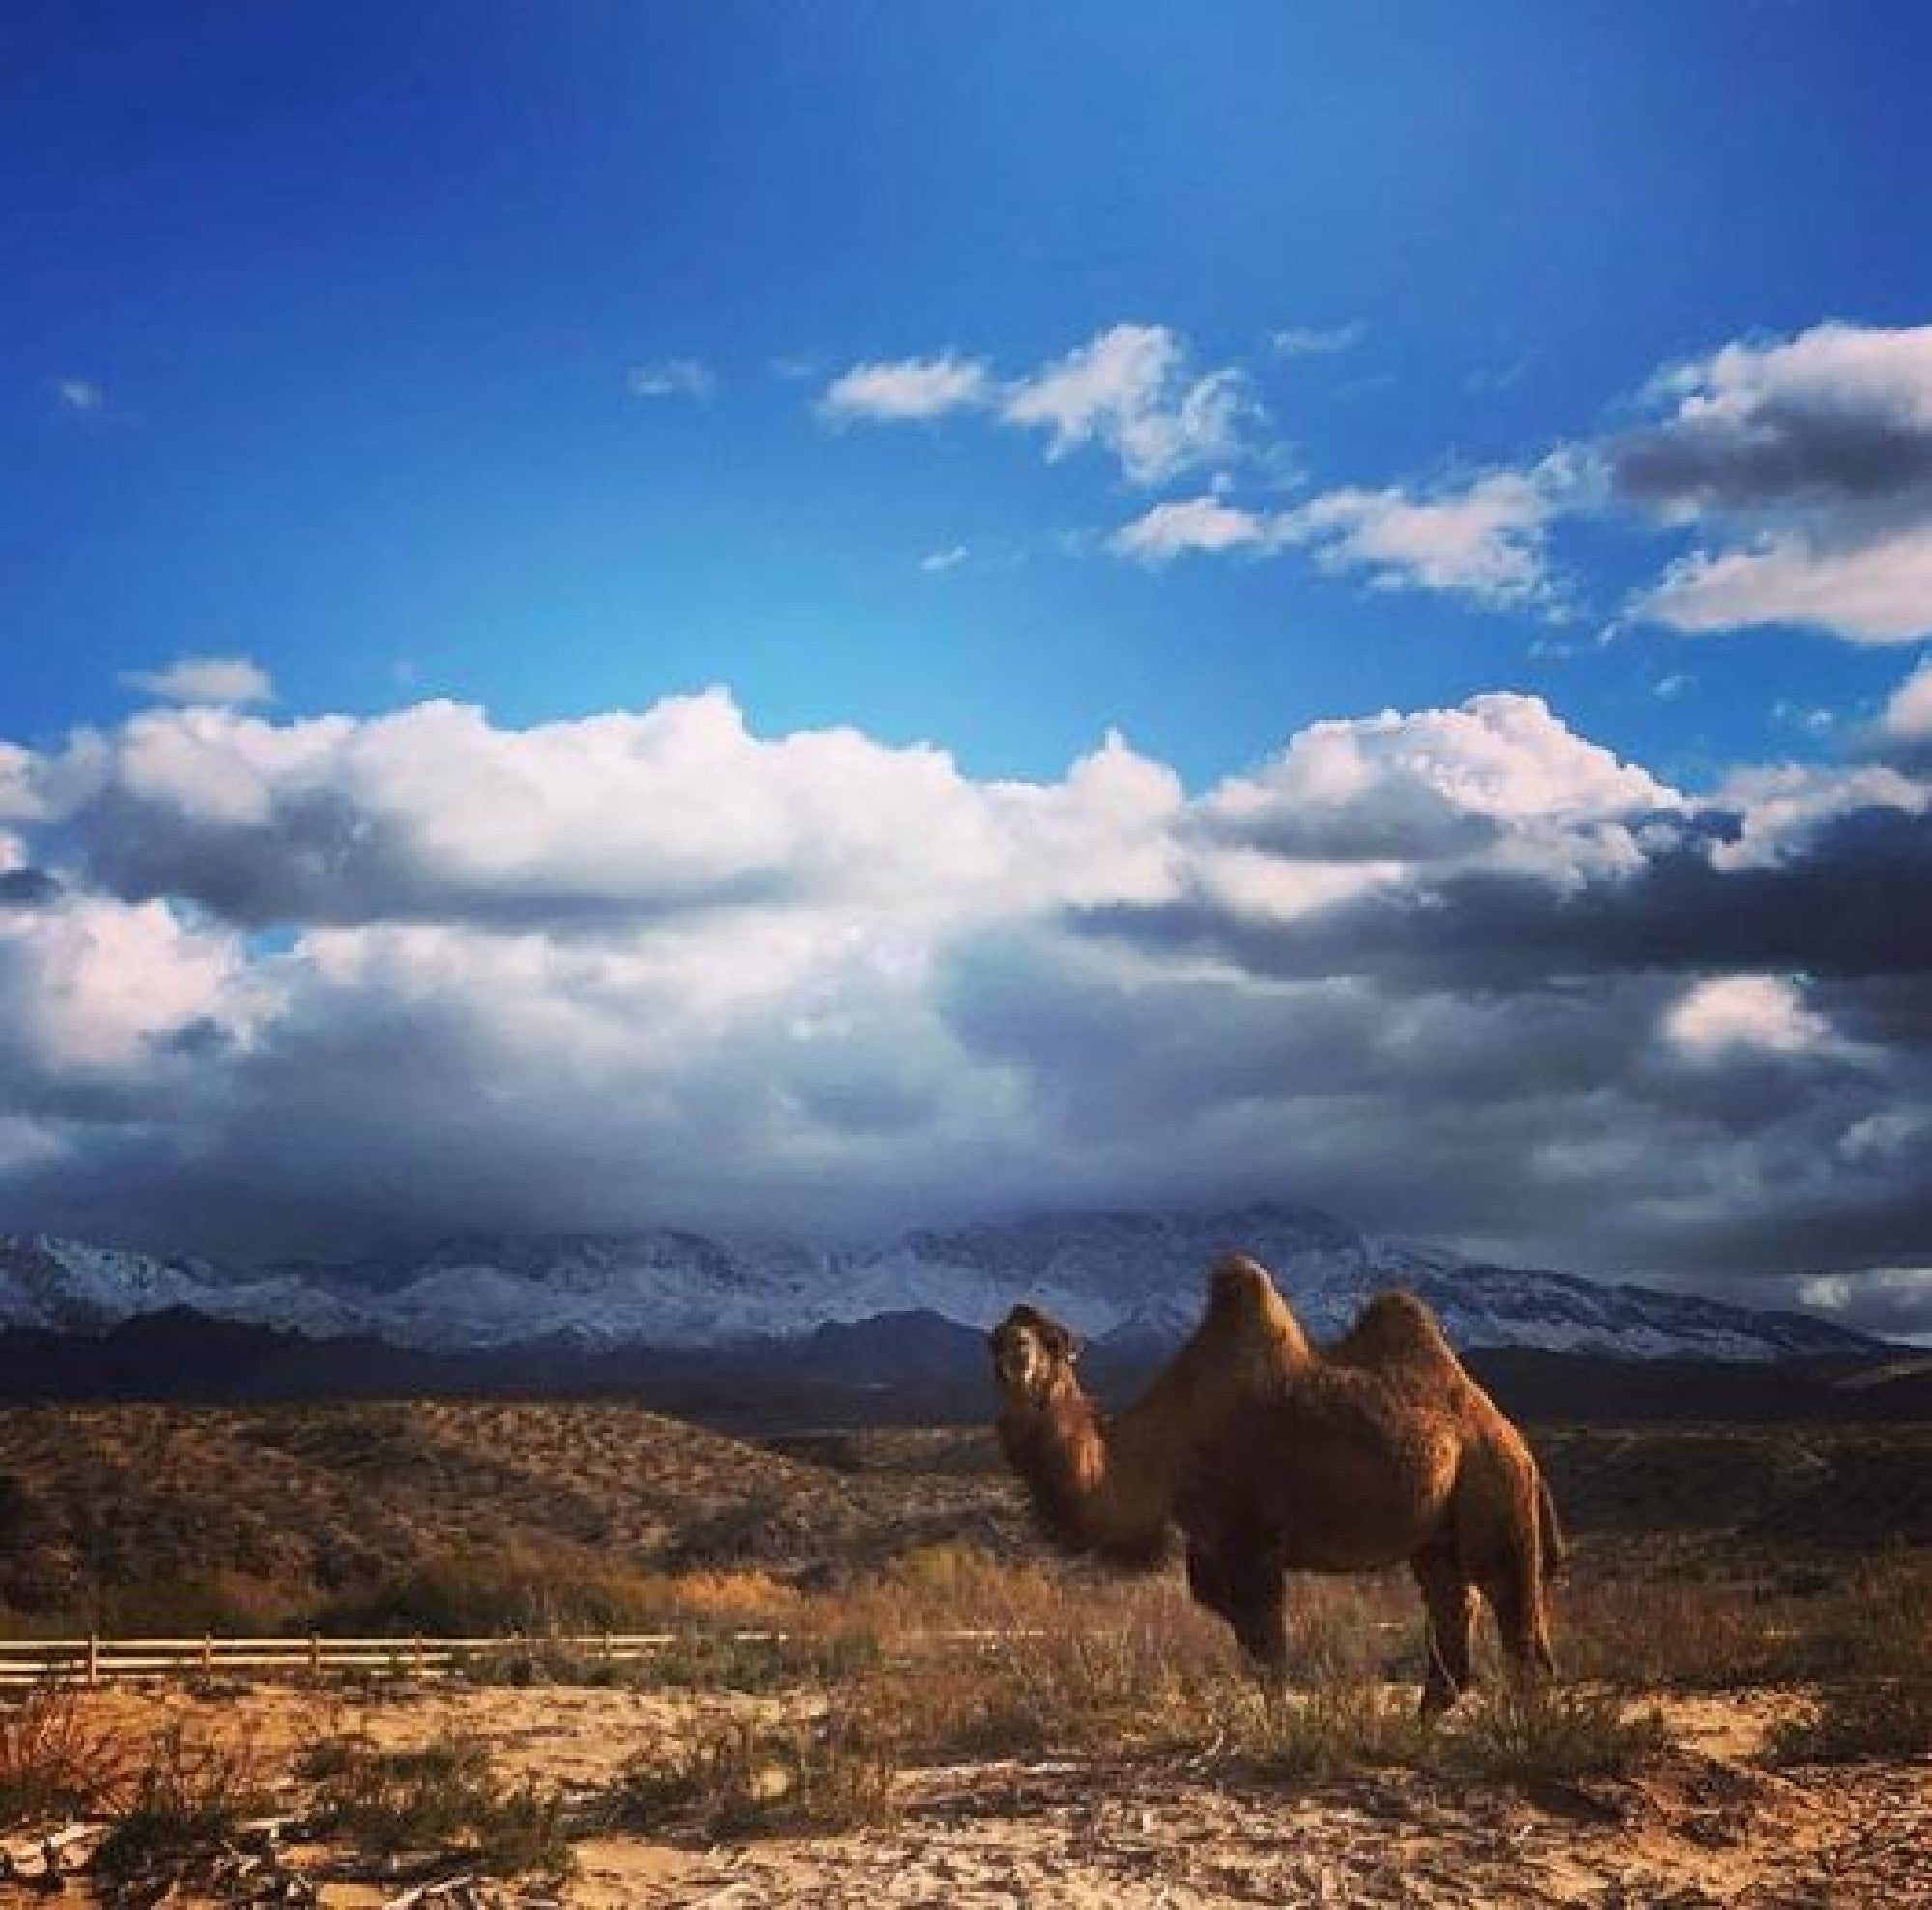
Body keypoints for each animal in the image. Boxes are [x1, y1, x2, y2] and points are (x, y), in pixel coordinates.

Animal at [990, 1254, 1561, 1716]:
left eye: (1056, 1342)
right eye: (994, 1338)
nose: (1017, 1350)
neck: (1169, 1445)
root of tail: (1515, 1441)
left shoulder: (1252, 1538)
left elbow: (1268, 1652)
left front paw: (1278, 1730)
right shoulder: (1211, 1550)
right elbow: (1252, 1645)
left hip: (1496, 1493)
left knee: (1521, 1633)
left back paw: (1525, 1736)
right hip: (1437, 1539)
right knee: (1453, 1628)